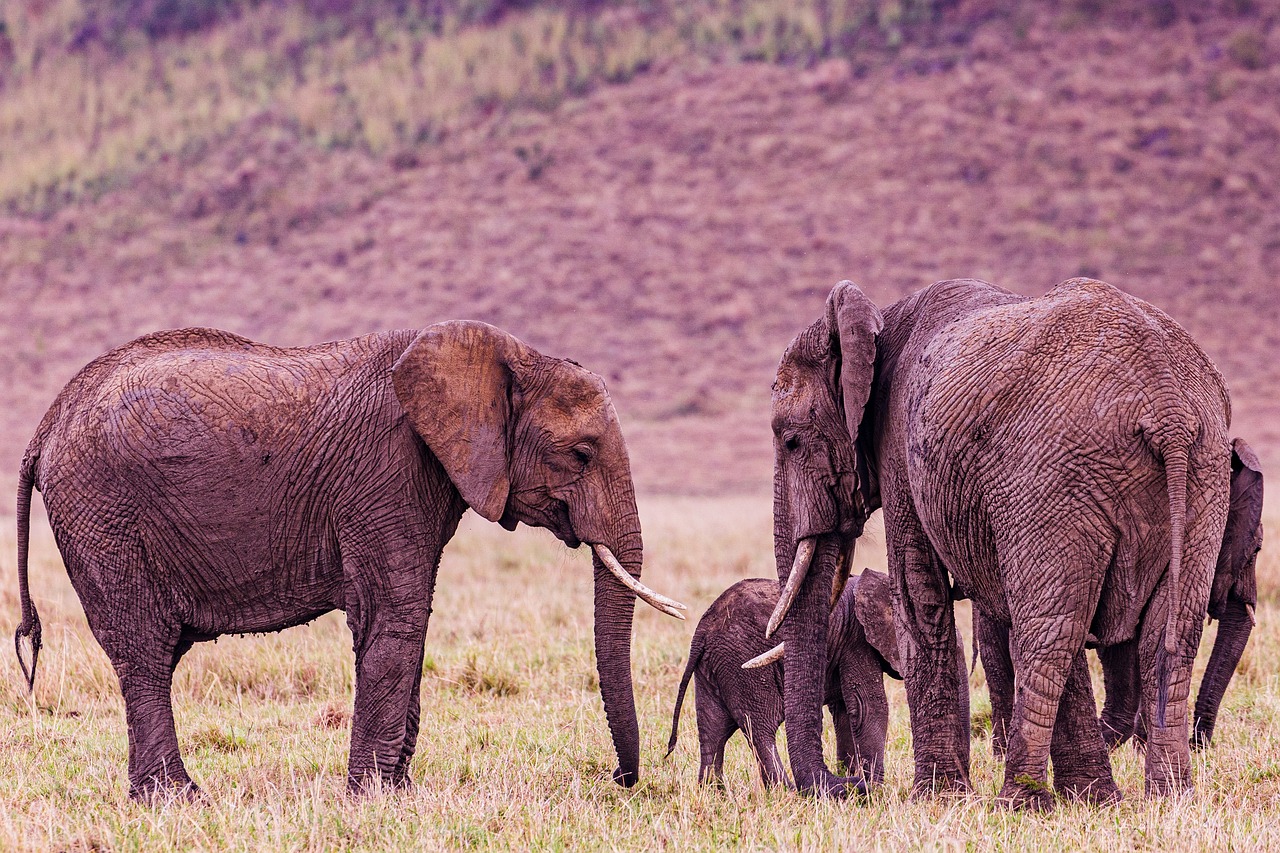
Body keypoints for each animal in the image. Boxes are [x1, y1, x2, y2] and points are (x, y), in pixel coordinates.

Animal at [12, 321, 686, 799]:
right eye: (581, 453)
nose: (622, 780)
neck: (505, 356)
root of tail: (43, 427)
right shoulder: (386, 472)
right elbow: (396, 619)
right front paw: (377, 799)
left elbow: (404, 622)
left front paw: (398, 793)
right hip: (103, 515)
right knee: (145, 652)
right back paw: (178, 801)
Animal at [664, 571, 903, 788]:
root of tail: (702, 631)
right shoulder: (857, 641)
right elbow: (868, 707)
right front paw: (874, 789)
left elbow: (844, 711)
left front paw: (853, 776)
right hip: (743, 665)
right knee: (761, 728)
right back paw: (785, 790)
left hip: (711, 668)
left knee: (713, 731)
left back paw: (714, 791)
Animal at [766, 277, 1231, 809]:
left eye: (791, 441)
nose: (851, 786)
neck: (877, 324)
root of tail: (1167, 407)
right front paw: (1092, 800)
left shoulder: (901, 450)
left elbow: (920, 593)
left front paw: (938, 798)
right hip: (1202, 470)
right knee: (1166, 632)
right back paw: (1170, 798)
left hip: (1054, 475)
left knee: (1049, 634)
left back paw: (1019, 802)